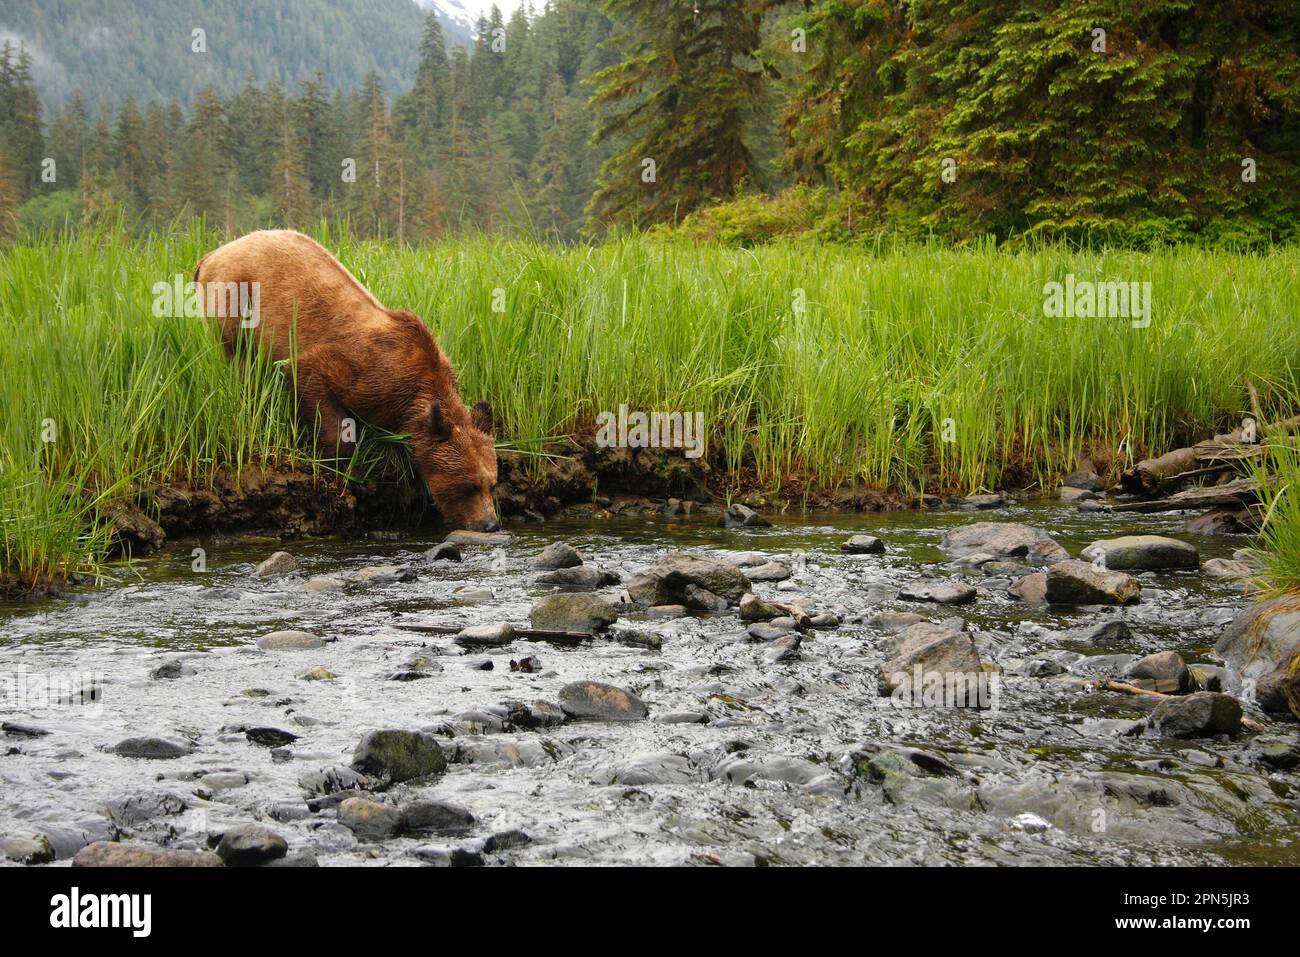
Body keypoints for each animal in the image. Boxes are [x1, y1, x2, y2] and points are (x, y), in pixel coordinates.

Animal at [194, 229, 498, 531]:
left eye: (492, 484)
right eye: (470, 485)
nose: (490, 524)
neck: (414, 390)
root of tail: (211, 254)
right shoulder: (365, 371)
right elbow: (316, 387)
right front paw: (344, 467)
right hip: (234, 298)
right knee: (240, 358)